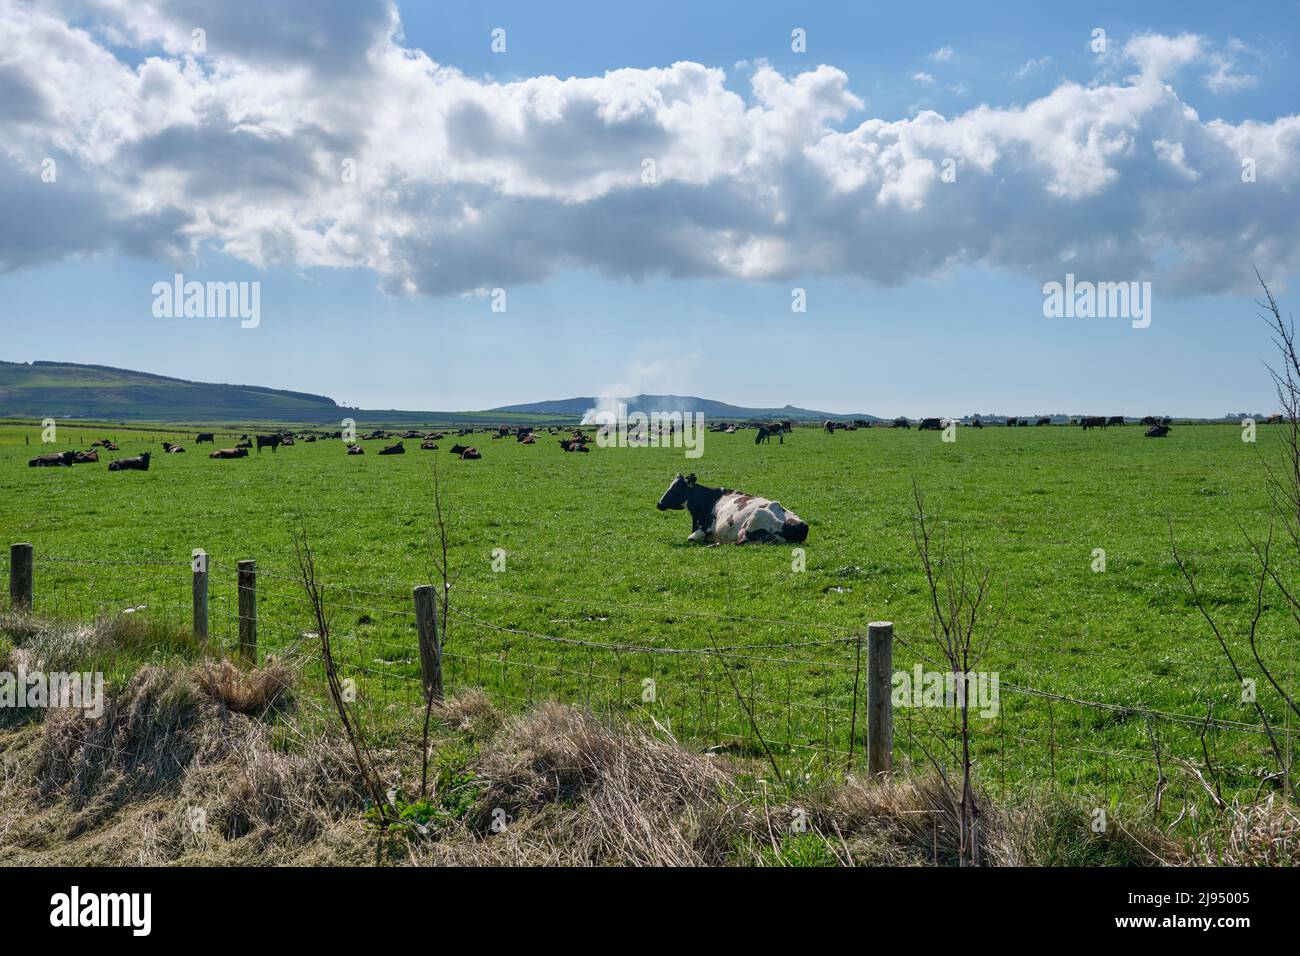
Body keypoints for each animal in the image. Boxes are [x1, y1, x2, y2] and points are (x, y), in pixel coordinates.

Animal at [657, 473, 808, 545]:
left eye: (676, 489)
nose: (659, 504)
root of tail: (802, 525)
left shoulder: (707, 527)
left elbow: (690, 539)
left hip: (757, 514)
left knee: (741, 542)